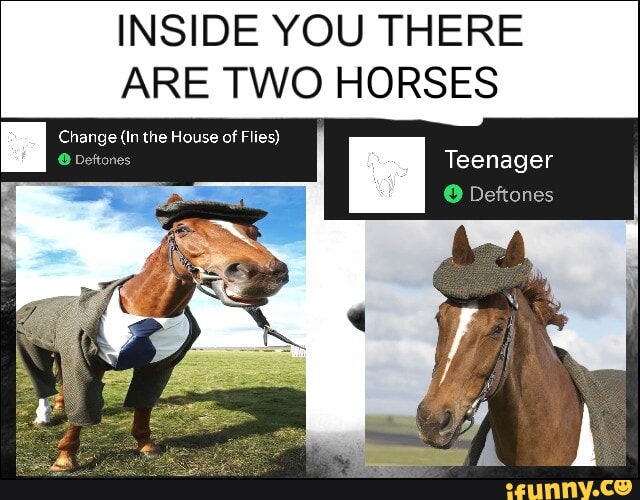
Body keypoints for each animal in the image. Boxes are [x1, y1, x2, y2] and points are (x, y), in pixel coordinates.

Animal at [16, 193, 290, 473]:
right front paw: (65, 458)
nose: (264, 273)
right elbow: (80, 411)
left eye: (255, 232)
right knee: (42, 382)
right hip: (33, 349)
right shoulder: (84, 366)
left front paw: (146, 446)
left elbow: (143, 406)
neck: (144, 313)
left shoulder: (156, 369)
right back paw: (43, 416)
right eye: (182, 229)